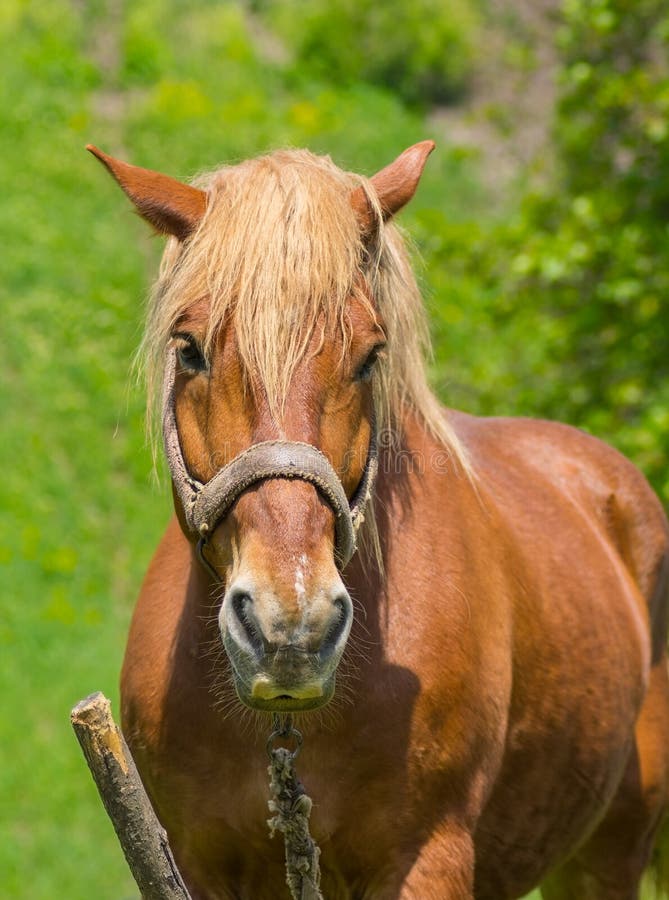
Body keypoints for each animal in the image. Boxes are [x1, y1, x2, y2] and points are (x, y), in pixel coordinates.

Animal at [88, 140, 669, 899]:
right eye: (189, 347)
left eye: (370, 356)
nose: (291, 628)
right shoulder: (192, 862)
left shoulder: (427, 858)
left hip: (608, 852)